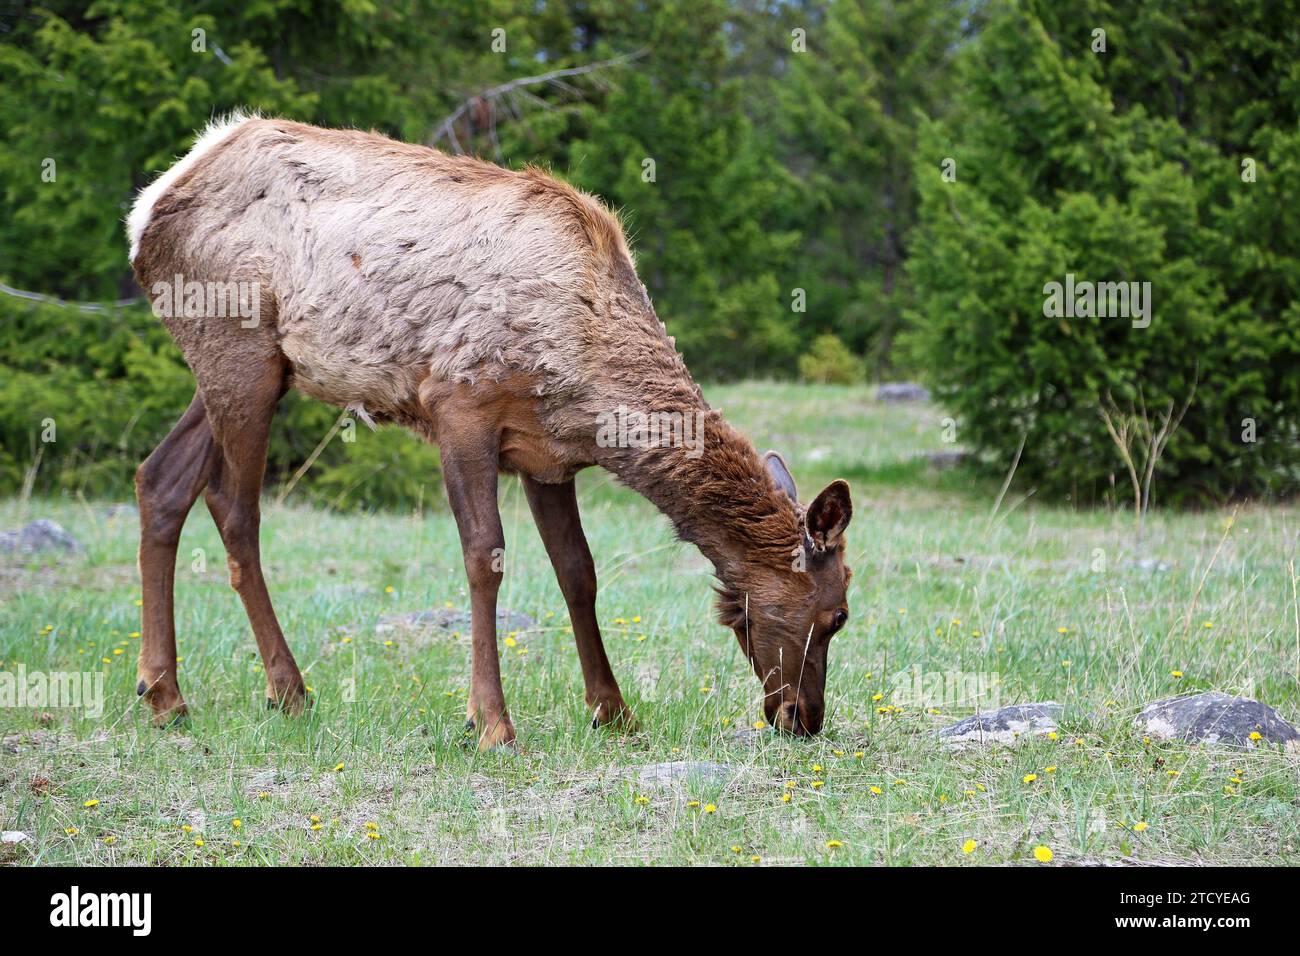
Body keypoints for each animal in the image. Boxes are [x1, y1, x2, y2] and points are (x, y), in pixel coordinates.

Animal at [126, 113, 853, 749]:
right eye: (837, 614)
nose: (804, 719)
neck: (591, 375)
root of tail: (145, 210)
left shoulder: (547, 455)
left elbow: (578, 572)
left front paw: (614, 712)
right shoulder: (459, 406)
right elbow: (485, 557)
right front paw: (492, 722)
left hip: (250, 366)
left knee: (161, 478)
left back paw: (164, 693)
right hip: (239, 346)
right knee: (232, 505)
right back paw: (288, 689)